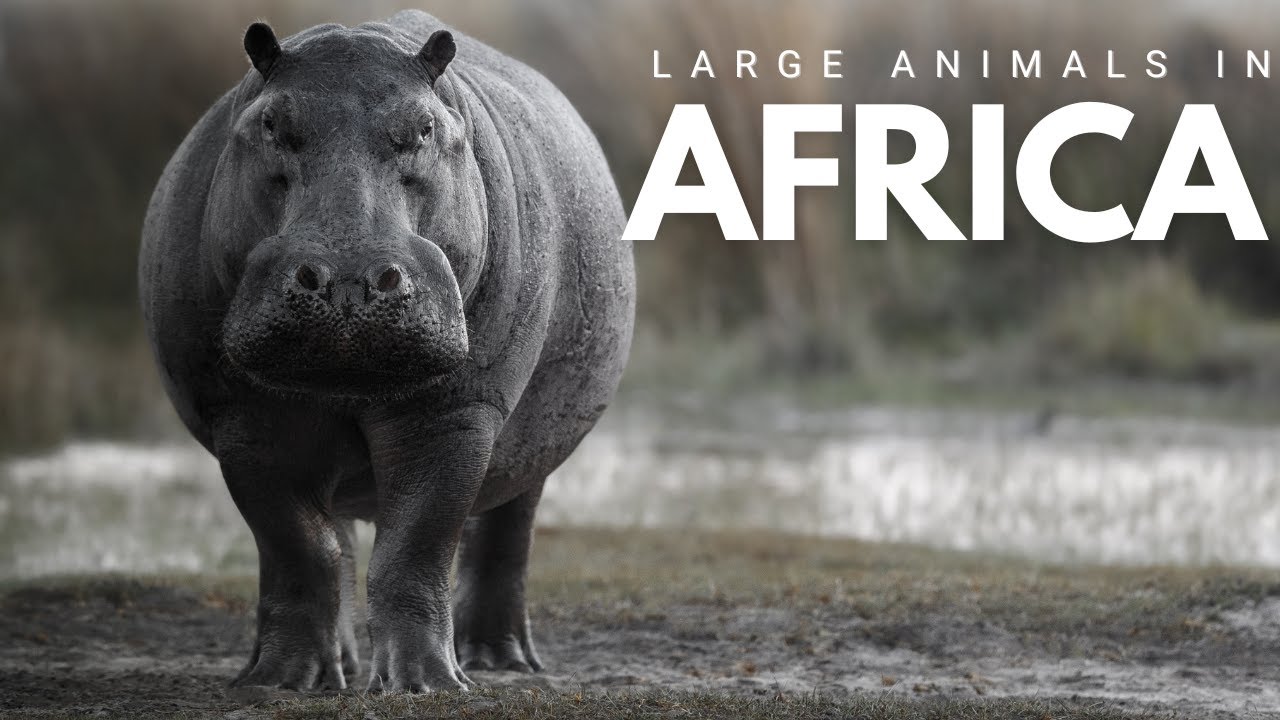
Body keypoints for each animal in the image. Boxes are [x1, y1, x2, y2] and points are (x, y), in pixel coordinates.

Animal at [137, 10, 633, 693]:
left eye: (424, 128)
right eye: (271, 124)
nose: (348, 278)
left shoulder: (456, 411)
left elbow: (416, 545)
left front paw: (428, 684)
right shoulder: (243, 416)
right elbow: (296, 546)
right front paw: (279, 682)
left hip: (535, 441)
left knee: (509, 527)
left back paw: (496, 660)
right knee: (336, 539)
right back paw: (333, 670)